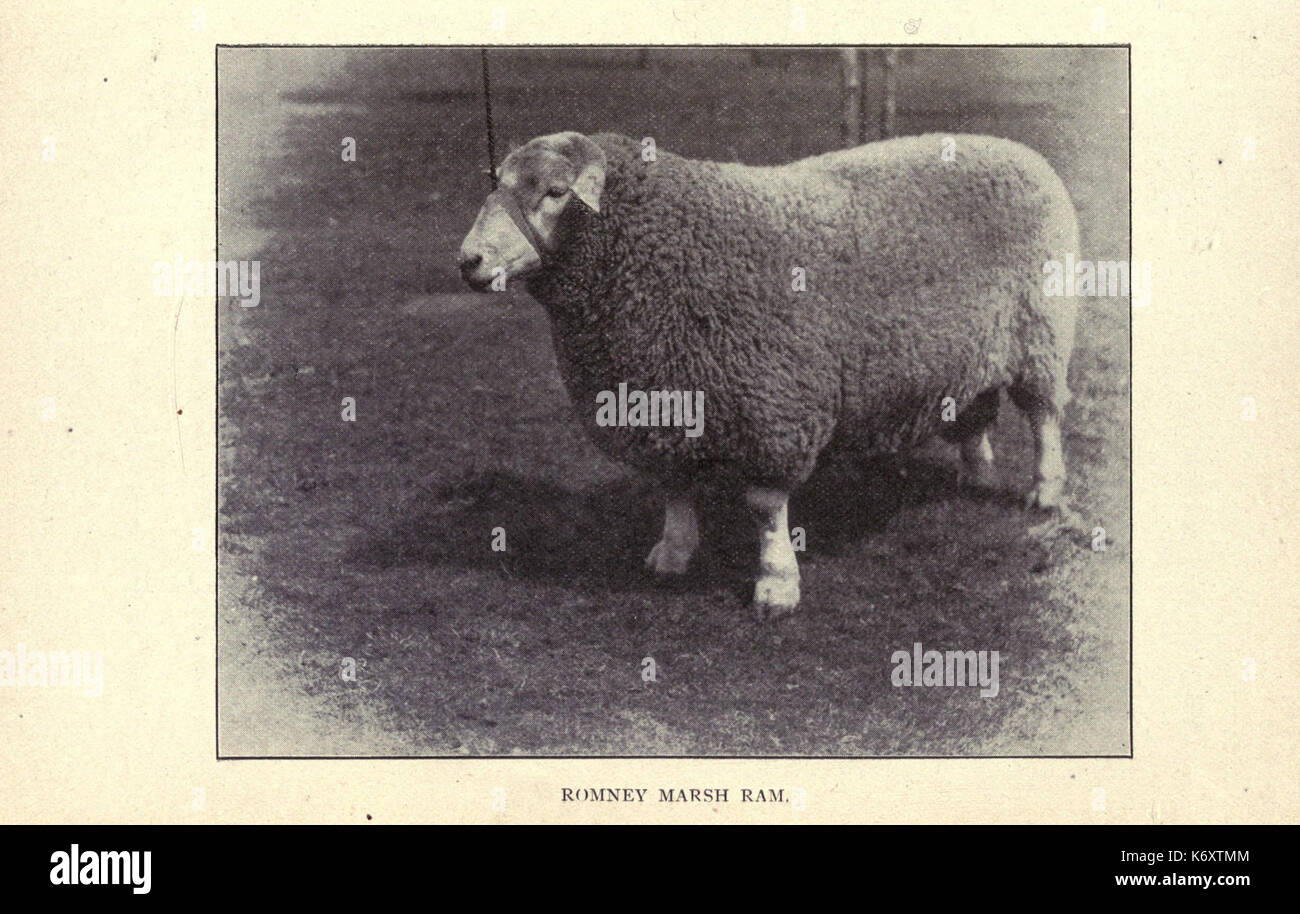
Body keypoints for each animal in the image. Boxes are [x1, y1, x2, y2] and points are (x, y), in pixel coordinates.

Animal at [458, 131, 1079, 618]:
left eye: (555, 192)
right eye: (497, 185)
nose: (468, 261)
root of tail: (1017, 148)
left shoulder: (774, 409)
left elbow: (764, 507)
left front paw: (776, 583)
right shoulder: (664, 401)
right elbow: (674, 486)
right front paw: (673, 553)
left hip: (1042, 329)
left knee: (1044, 415)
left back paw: (1046, 492)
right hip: (970, 346)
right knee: (975, 411)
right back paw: (974, 471)